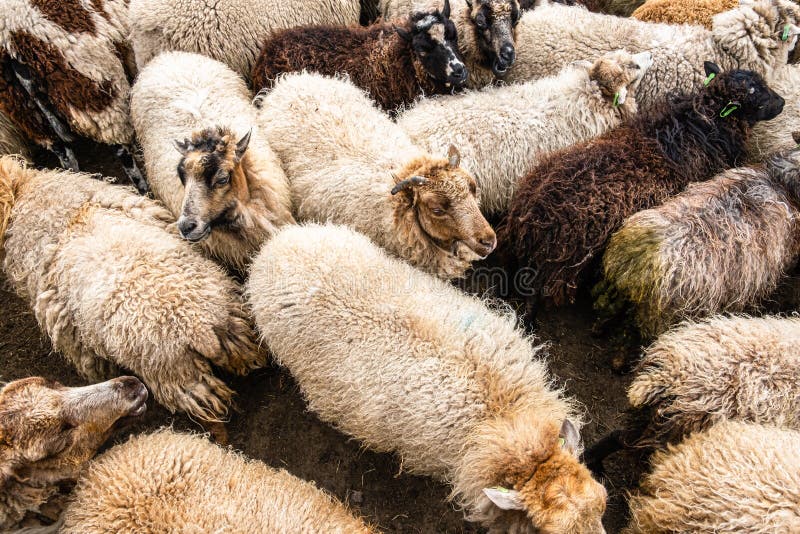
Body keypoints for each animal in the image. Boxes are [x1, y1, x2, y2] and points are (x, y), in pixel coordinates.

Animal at [0, 0, 146, 192]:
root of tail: (11, 40)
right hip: (95, 85)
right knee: (122, 151)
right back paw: (144, 188)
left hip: (29, 113)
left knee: (63, 153)